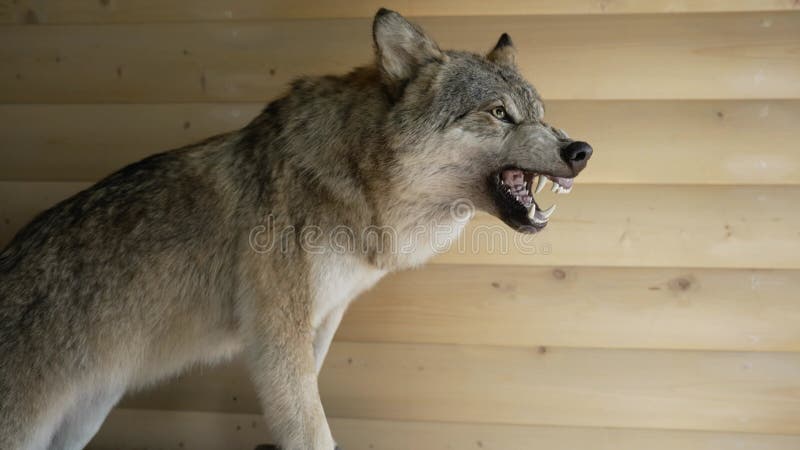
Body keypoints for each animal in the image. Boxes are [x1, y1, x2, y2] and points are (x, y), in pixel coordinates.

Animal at [0, 8, 592, 450]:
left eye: (541, 113)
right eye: (499, 113)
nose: (581, 150)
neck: (358, 184)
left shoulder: (322, 317)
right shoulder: (275, 328)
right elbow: (308, 426)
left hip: (84, 415)